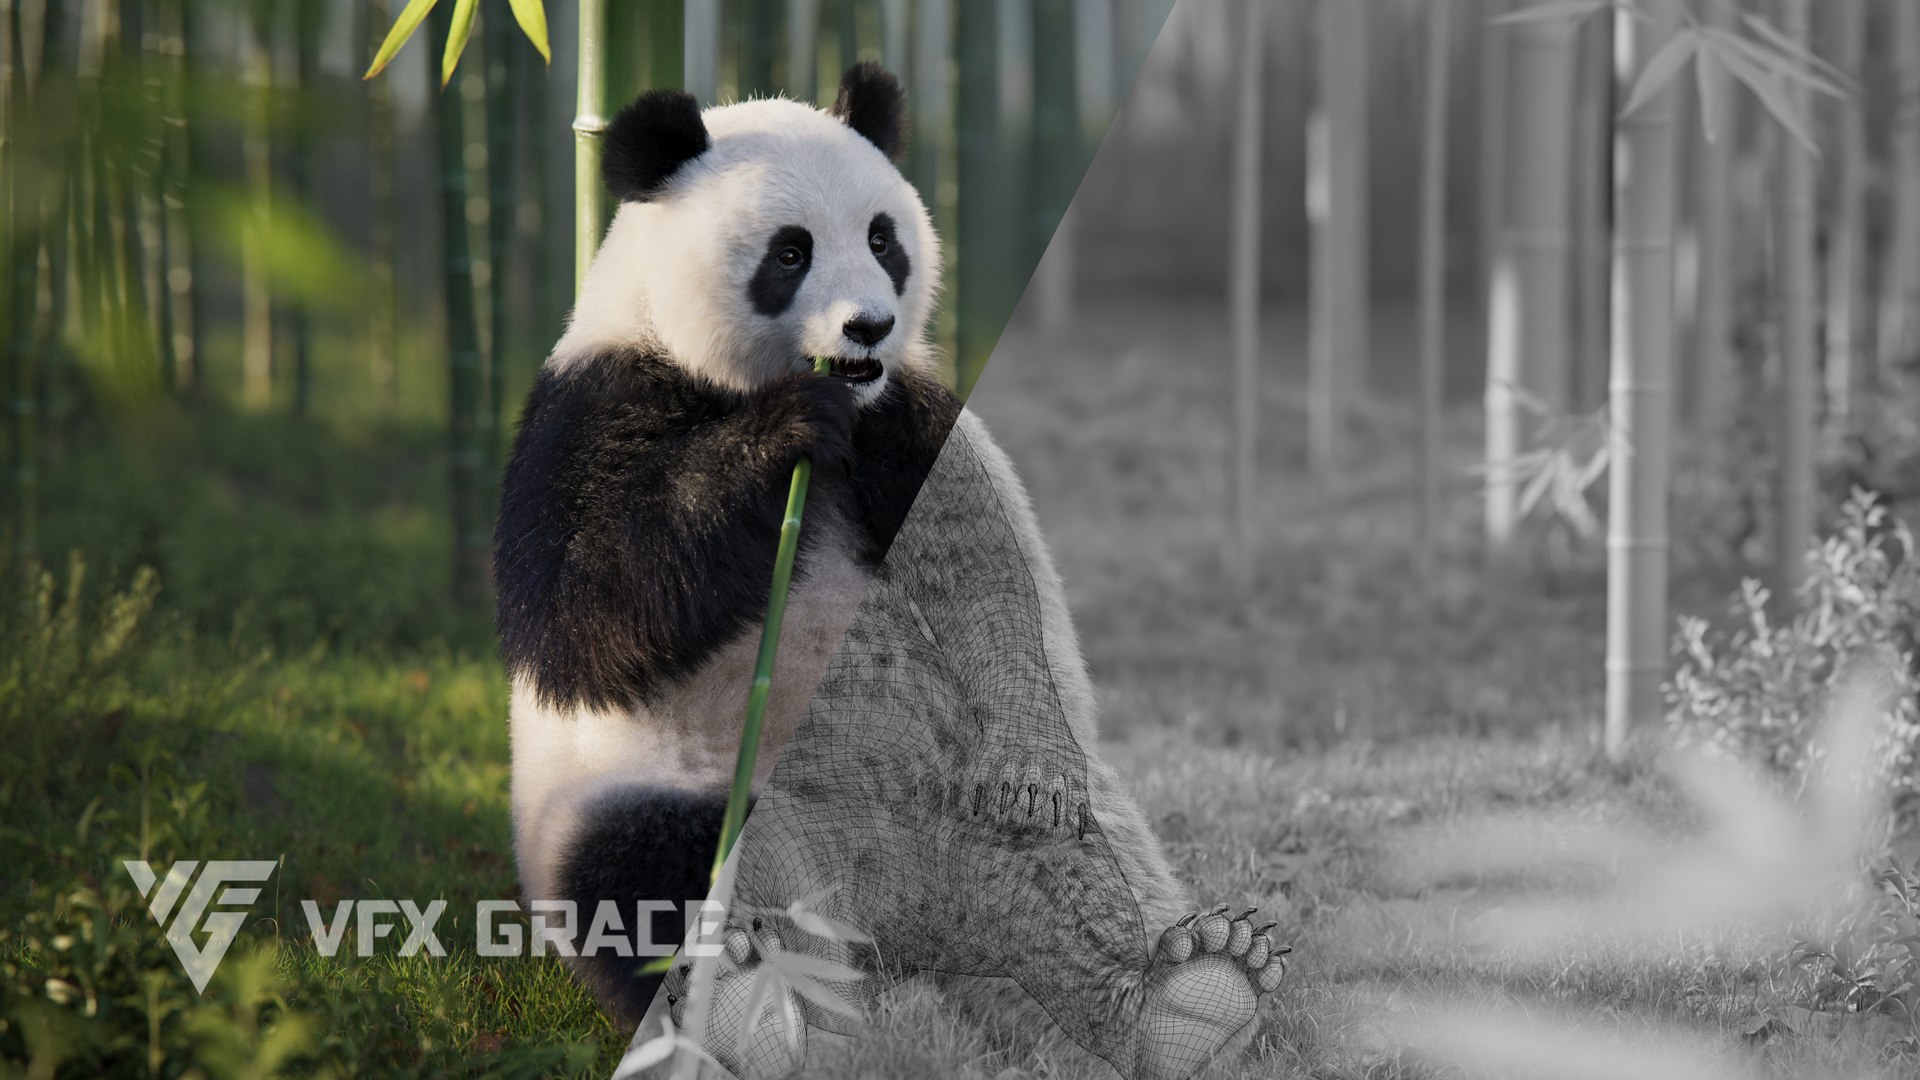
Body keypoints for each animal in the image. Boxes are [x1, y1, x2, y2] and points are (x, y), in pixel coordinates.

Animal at [494, 64, 1286, 1080]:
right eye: (789, 253)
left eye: (883, 239)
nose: (867, 326)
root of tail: (876, 932)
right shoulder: (595, 403)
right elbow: (587, 607)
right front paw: (778, 436)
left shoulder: (905, 417)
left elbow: (981, 565)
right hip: (662, 793)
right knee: (642, 875)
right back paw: (750, 1004)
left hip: (952, 803)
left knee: (1046, 872)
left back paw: (1191, 998)